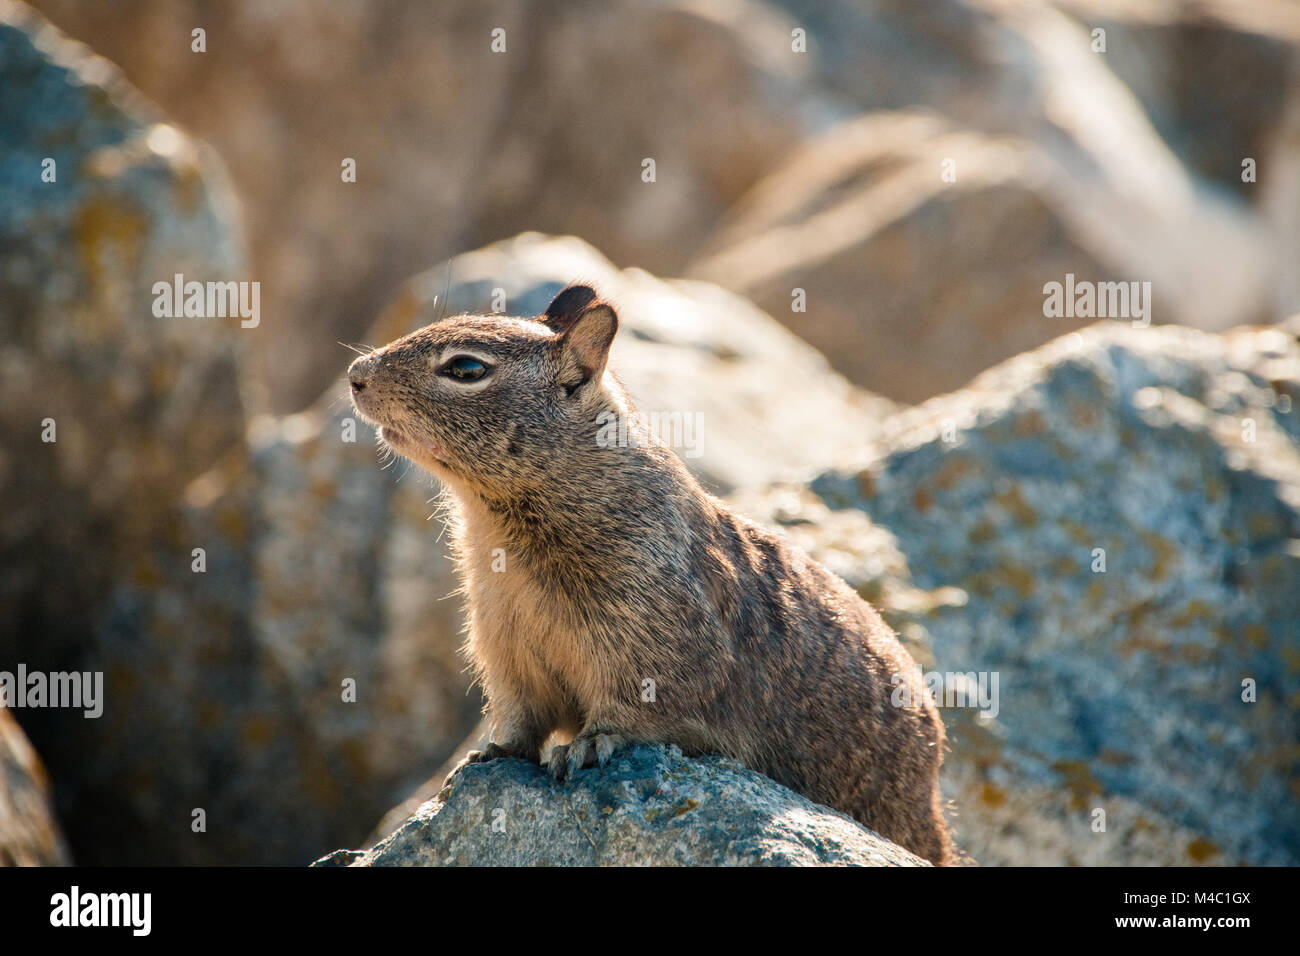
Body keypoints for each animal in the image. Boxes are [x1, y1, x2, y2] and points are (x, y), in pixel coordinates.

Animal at [348, 284, 954, 864]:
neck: (499, 528)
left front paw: (588, 745)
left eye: (467, 369)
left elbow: (634, 709)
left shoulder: (646, 640)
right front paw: (490, 752)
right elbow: (521, 718)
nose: (355, 375)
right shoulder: (505, 647)